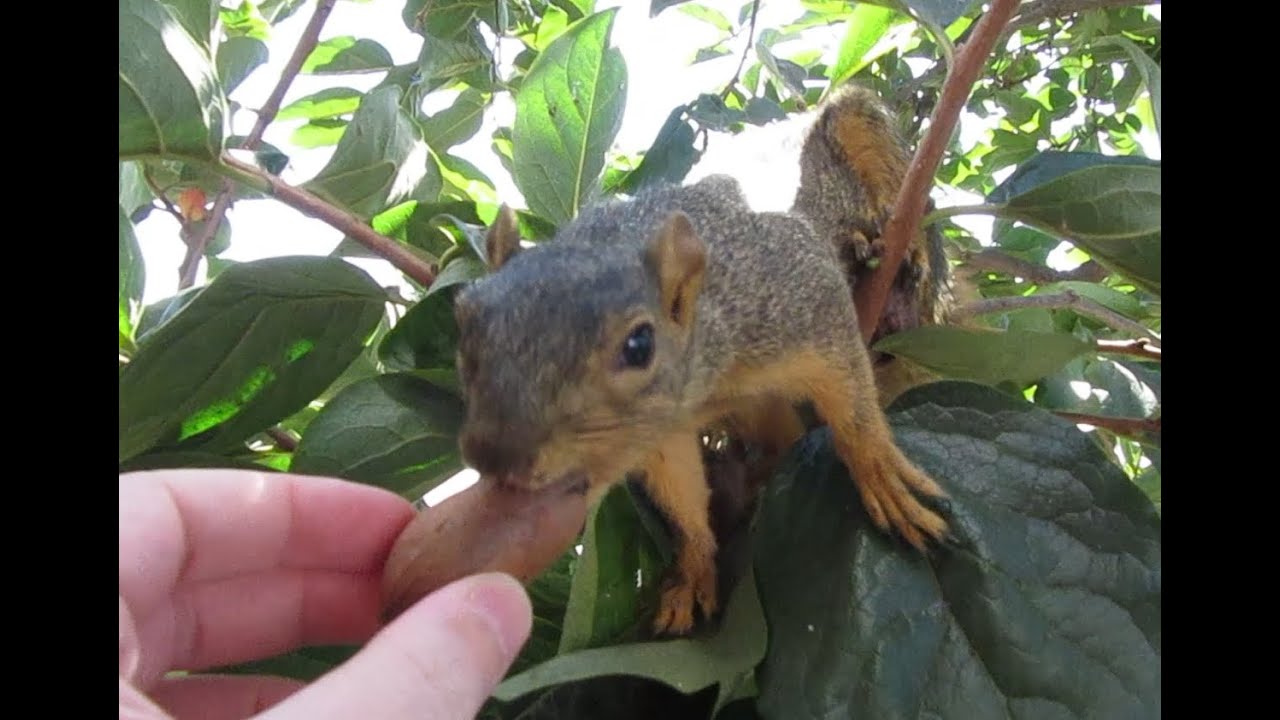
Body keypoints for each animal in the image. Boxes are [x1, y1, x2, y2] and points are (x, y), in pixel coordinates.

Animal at [451, 84, 951, 637]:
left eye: (639, 346)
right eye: (463, 321)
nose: (496, 456)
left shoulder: (803, 299)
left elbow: (853, 403)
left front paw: (880, 471)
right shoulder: (662, 436)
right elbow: (683, 494)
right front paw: (693, 568)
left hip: (865, 136)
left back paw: (898, 258)